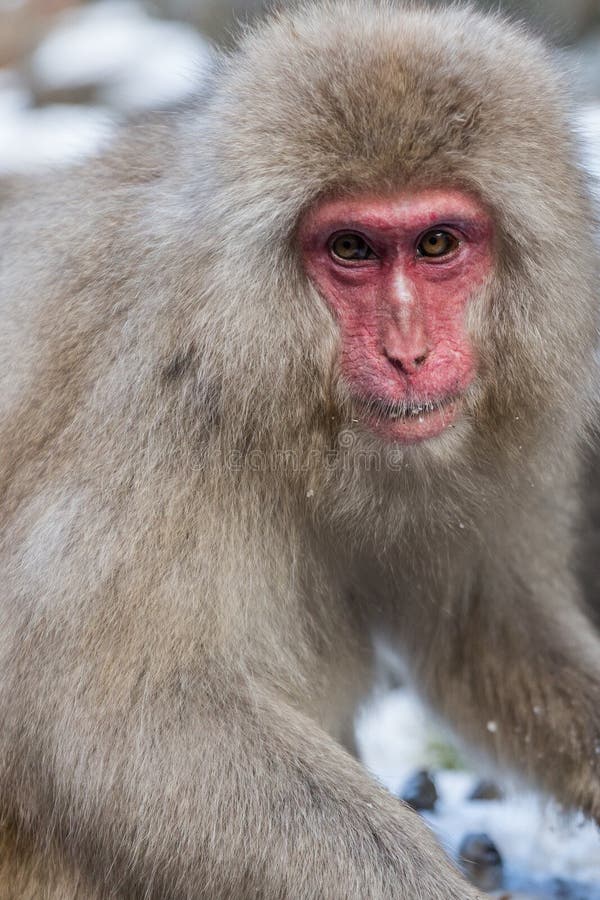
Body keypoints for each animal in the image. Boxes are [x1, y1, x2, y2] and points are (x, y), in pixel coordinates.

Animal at [0, 2, 598, 898]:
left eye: (436, 244)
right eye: (351, 248)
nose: (407, 353)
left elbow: (487, 628)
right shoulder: (156, 408)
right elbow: (113, 716)